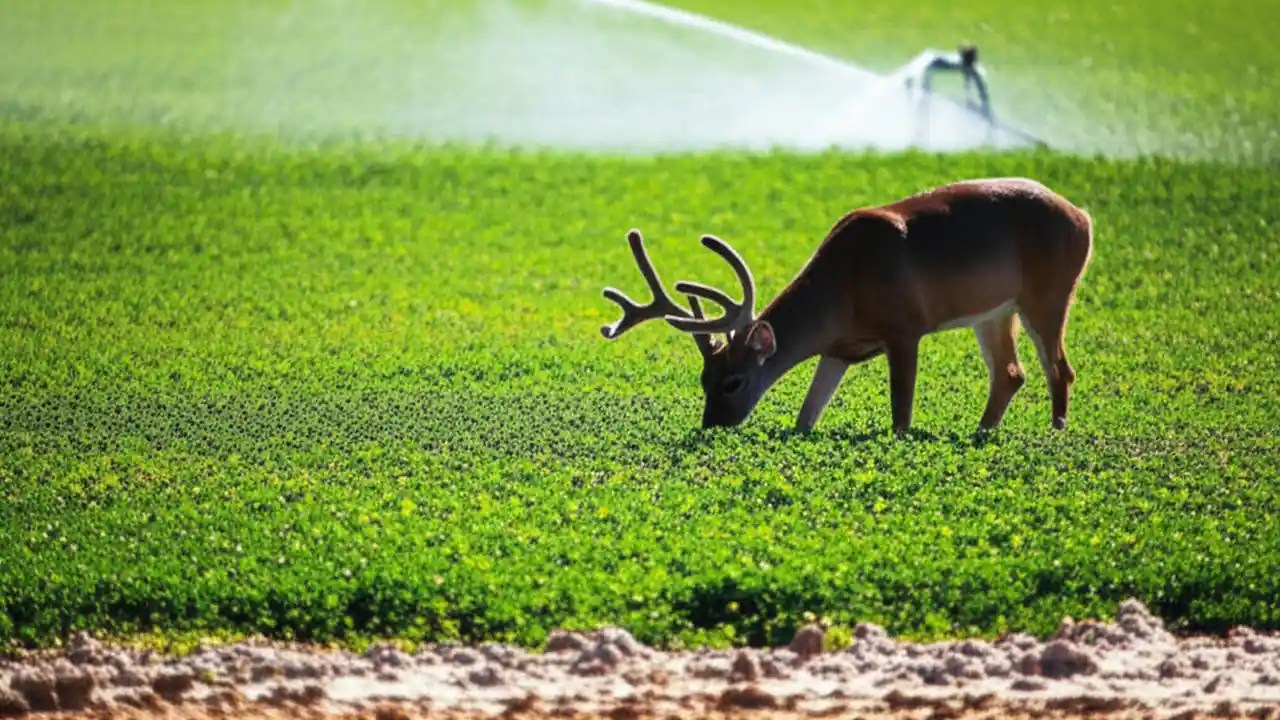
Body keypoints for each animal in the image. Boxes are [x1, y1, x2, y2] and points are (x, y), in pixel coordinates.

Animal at [600, 177, 1093, 433]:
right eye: (703, 380)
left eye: (733, 382)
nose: (712, 425)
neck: (843, 293)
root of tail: (1083, 216)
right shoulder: (837, 349)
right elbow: (806, 416)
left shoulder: (905, 326)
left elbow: (900, 414)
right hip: (995, 312)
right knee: (1011, 373)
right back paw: (980, 434)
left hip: (1050, 291)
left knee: (1059, 368)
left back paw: (1054, 433)